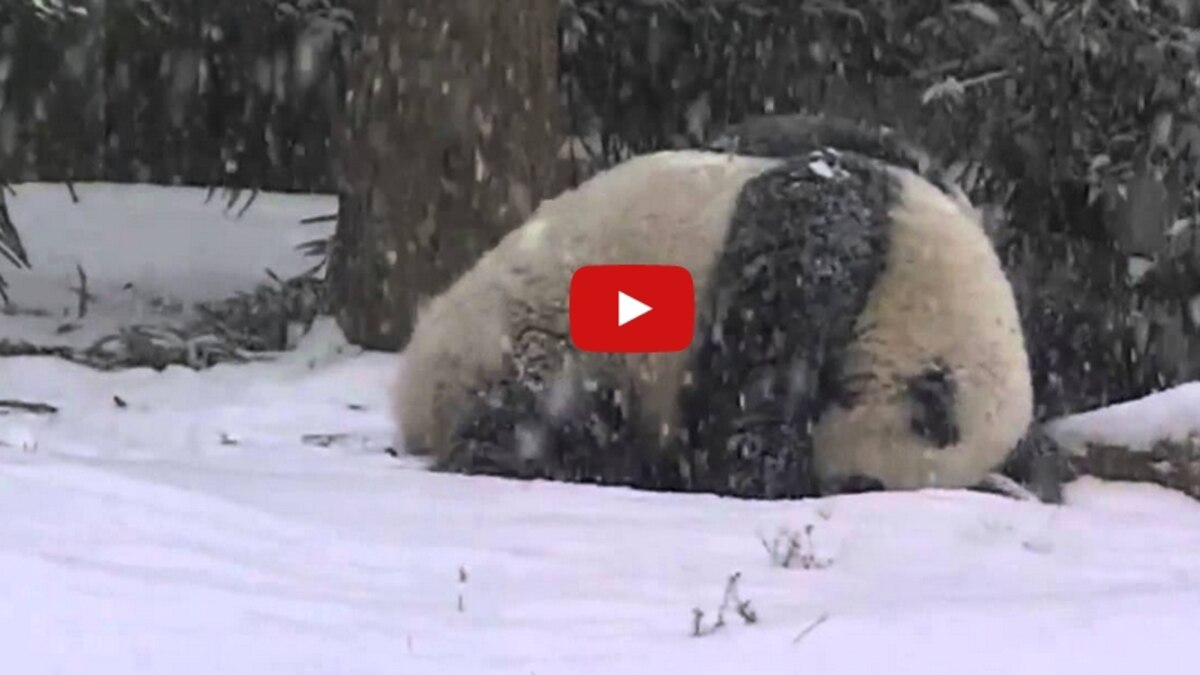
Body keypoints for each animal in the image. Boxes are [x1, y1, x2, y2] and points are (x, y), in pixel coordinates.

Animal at [391, 116, 1036, 500]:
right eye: (862, 484)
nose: (830, 482)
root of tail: (413, 400)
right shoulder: (830, 231)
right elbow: (755, 378)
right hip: (528, 333)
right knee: (538, 410)